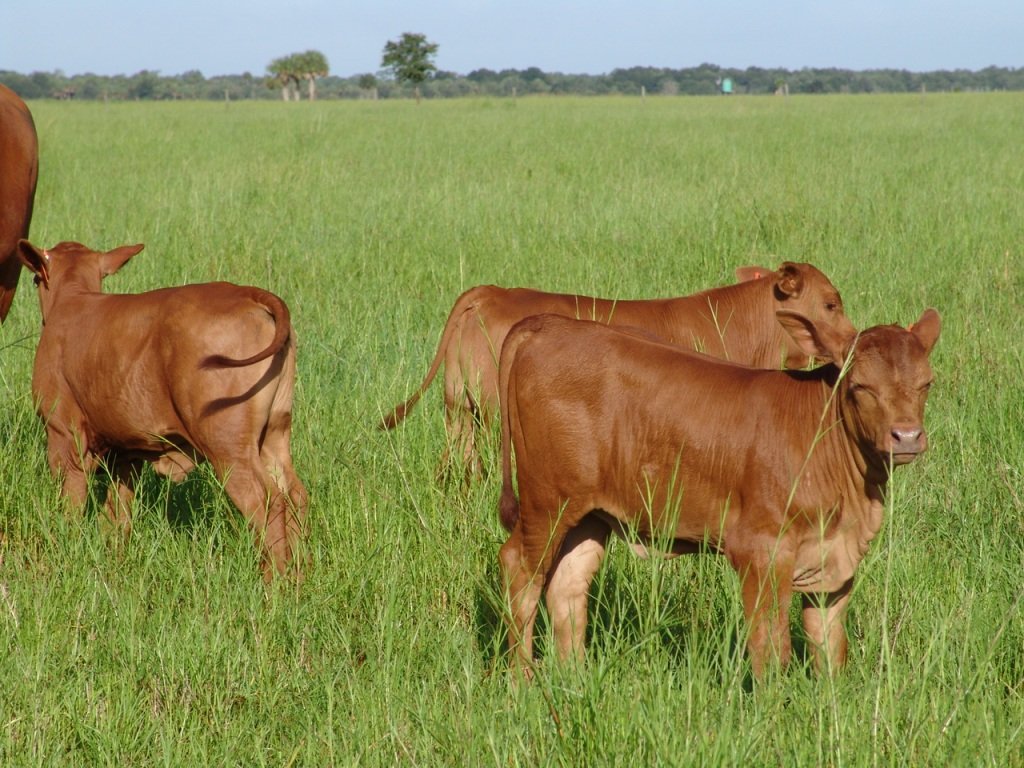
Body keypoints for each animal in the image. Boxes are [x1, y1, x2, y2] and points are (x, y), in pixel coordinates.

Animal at [17, 239, 308, 582]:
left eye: (35, 279)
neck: (75, 298)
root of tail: (247, 293)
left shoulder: (64, 436)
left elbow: (71, 504)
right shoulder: (126, 453)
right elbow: (117, 513)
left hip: (228, 447)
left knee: (267, 501)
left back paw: (274, 580)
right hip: (274, 434)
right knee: (295, 495)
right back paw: (300, 571)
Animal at [497, 308, 940, 679]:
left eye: (926, 383)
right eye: (860, 386)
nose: (906, 436)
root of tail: (549, 323)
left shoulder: (834, 561)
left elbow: (829, 646)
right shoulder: (759, 551)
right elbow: (769, 647)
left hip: (587, 514)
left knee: (568, 584)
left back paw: (574, 679)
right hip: (546, 502)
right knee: (520, 571)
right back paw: (522, 682)